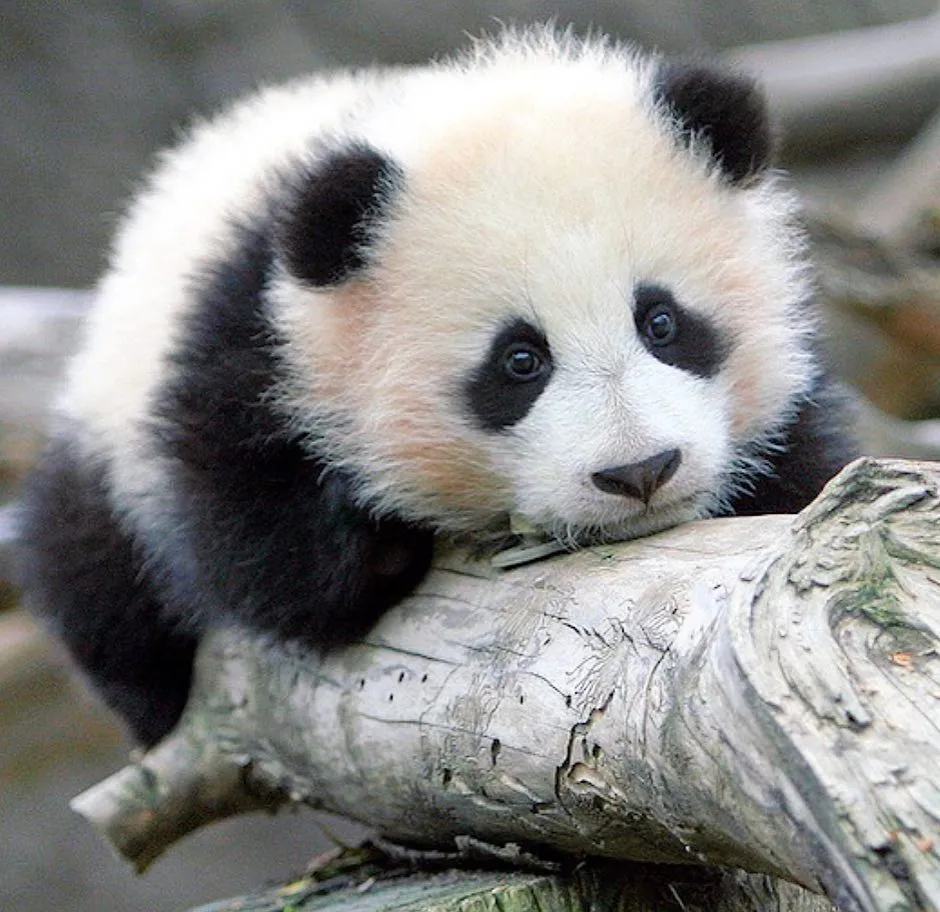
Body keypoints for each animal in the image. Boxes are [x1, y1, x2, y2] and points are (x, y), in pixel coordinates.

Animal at [18, 28, 854, 748]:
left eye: (662, 322)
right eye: (519, 362)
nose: (640, 472)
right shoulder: (250, 328)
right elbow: (251, 538)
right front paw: (376, 538)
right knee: (89, 567)